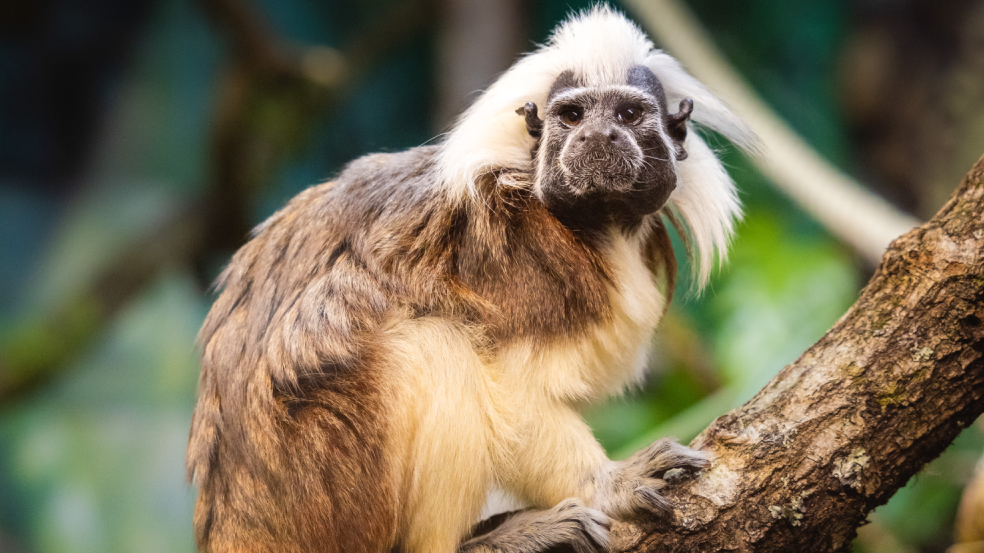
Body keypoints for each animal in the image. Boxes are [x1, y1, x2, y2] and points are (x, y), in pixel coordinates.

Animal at [186, 6, 752, 553]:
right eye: (572, 116)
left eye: (628, 115)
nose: (597, 136)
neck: (598, 227)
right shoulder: (520, 263)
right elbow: (514, 389)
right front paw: (610, 485)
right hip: (330, 488)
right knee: (432, 345)